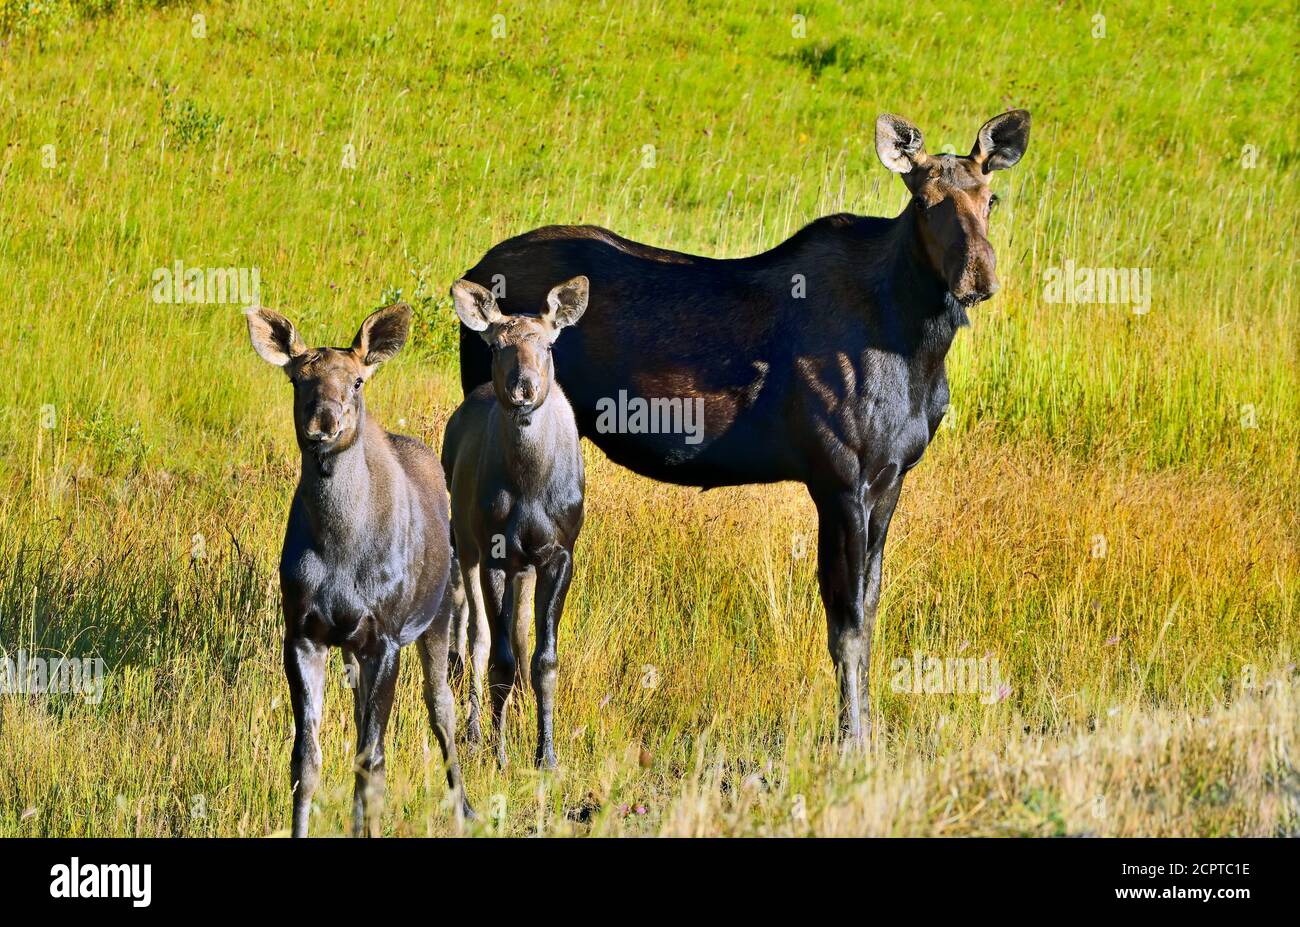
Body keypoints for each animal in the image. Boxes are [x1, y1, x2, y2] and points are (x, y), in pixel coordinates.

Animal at [245, 302, 474, 836]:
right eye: (297, 379)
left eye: (356, 381)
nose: (323, 422)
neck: (340, 550)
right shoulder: (302, 633)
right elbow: (306, 759)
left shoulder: (384, 637)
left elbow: (373, 760)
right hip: (352, 647)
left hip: (439, 617)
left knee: (441, 709)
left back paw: (465, 808)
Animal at [441, 276, 589, 769]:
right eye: (496, 344)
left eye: (548, 343)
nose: (524, 386)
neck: (529, 488)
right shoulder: (494, 551)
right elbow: (498, 657)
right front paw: (499, 752)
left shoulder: (560, 552)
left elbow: (545, 658)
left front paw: (547, 755)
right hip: (465, 540)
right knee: (476, 632)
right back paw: (472, 729)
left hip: (523, 564)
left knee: (518, 628)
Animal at [453, 111, 1031, 749]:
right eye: (924, 200)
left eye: (991, 197)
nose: (978, 277)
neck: (917, 343)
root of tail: (473, 269)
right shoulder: (841, 479)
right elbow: (848, 627)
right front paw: (852, 742)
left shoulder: (889, 479)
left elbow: (870, 613)